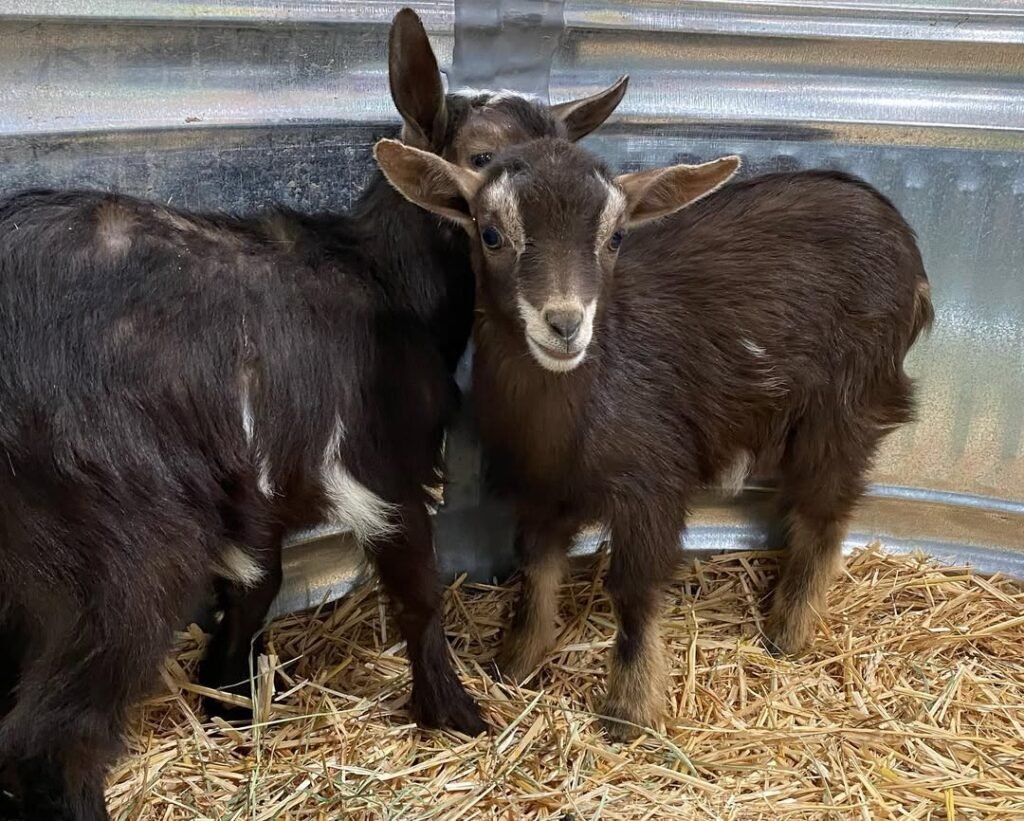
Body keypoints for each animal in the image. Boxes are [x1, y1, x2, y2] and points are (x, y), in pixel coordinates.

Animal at [0, 8, 627, 818]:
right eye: (480, 158)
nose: (564, 319)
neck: (385, 279)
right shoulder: (381, 465)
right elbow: (418, 588)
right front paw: (455, 711)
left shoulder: (258, 486)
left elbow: (257, 585)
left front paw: (230, 698)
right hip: (116, 532)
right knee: (53, 735)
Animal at [375, 135, 934, 741]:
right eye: (491, 233)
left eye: (616, 236)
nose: (565, 325)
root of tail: (902, 238)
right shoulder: (540, 485)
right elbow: (537, 567)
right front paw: (517, 661)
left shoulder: (654, 482)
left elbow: (634, 591)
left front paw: (630, 709)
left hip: (849, 404)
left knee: (825, 510)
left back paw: (788, 631)